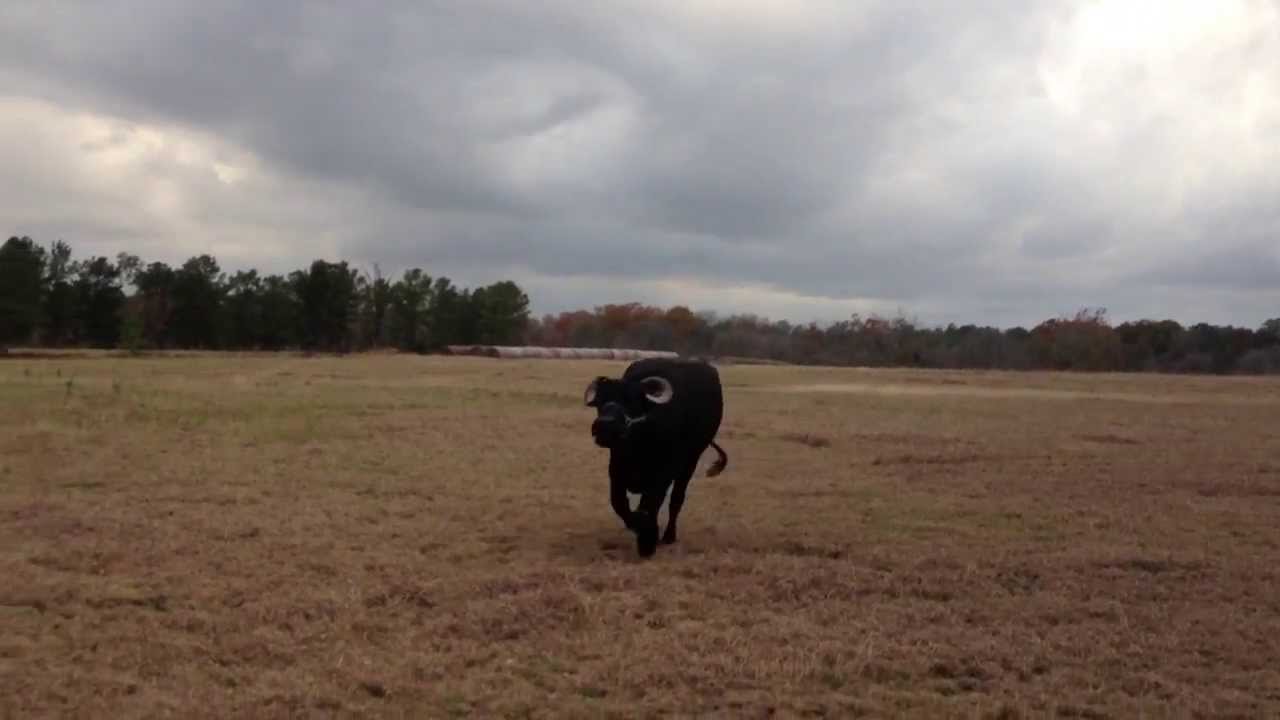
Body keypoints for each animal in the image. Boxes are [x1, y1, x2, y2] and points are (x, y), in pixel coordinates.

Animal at [583, 357, 728, 557]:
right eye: (600, 402)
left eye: (631, 400)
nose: (605, 426)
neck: (638, 446)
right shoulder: (616, 471)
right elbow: (619, 503)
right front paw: (637, 525)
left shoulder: (661, 475)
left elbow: (651, 504)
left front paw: (647, 539)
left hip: (690, 462)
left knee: (676, 499)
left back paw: (668, 536)